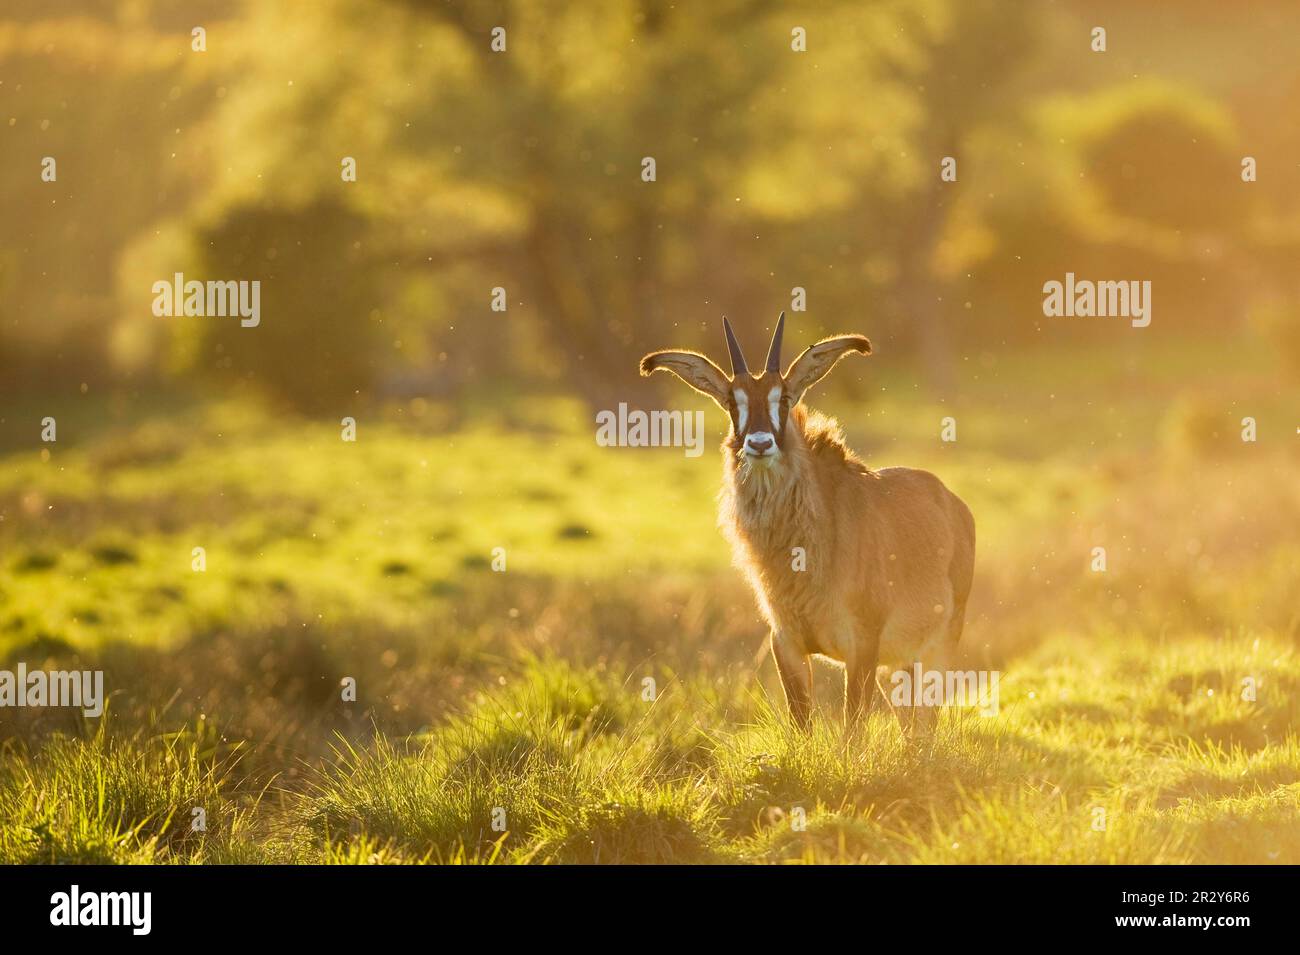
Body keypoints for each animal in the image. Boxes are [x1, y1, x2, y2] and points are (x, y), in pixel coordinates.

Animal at [639, 314, 975, 730]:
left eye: (782, 398)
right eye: (733, 403)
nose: (760, 443)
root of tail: (953, 504)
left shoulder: (862, 644)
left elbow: (853, 728)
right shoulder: (787, 644)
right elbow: (801, 725)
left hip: (938, 646)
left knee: (926, 722)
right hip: (897, 664)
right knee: (911, 723)